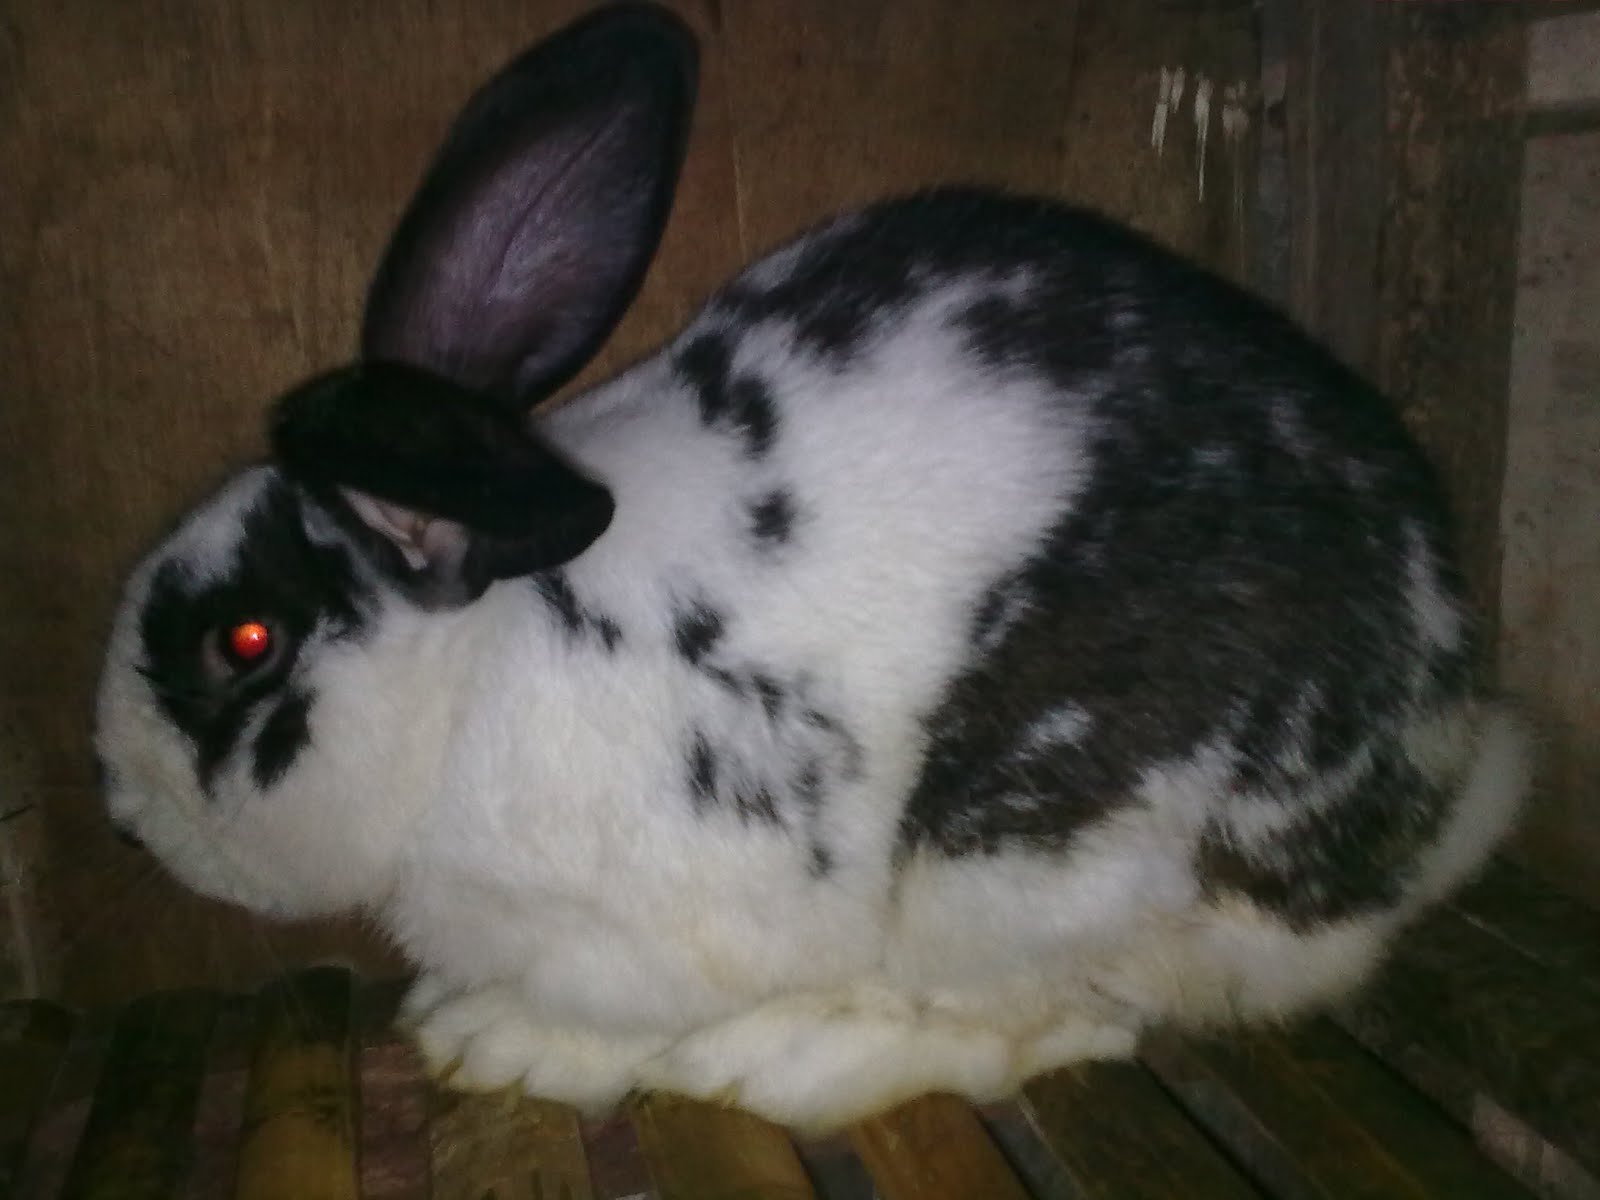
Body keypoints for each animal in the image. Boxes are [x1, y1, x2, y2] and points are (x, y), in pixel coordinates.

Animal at [94, 2, 1529, 1131]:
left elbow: (612, 1016)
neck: (467, 681)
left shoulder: (669, 926)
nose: (118, 807)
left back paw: (776, 1063)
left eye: (242, 643)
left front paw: (494, 1042)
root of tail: (1433, 797)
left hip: (1023, 867)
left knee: (1060, 1018)